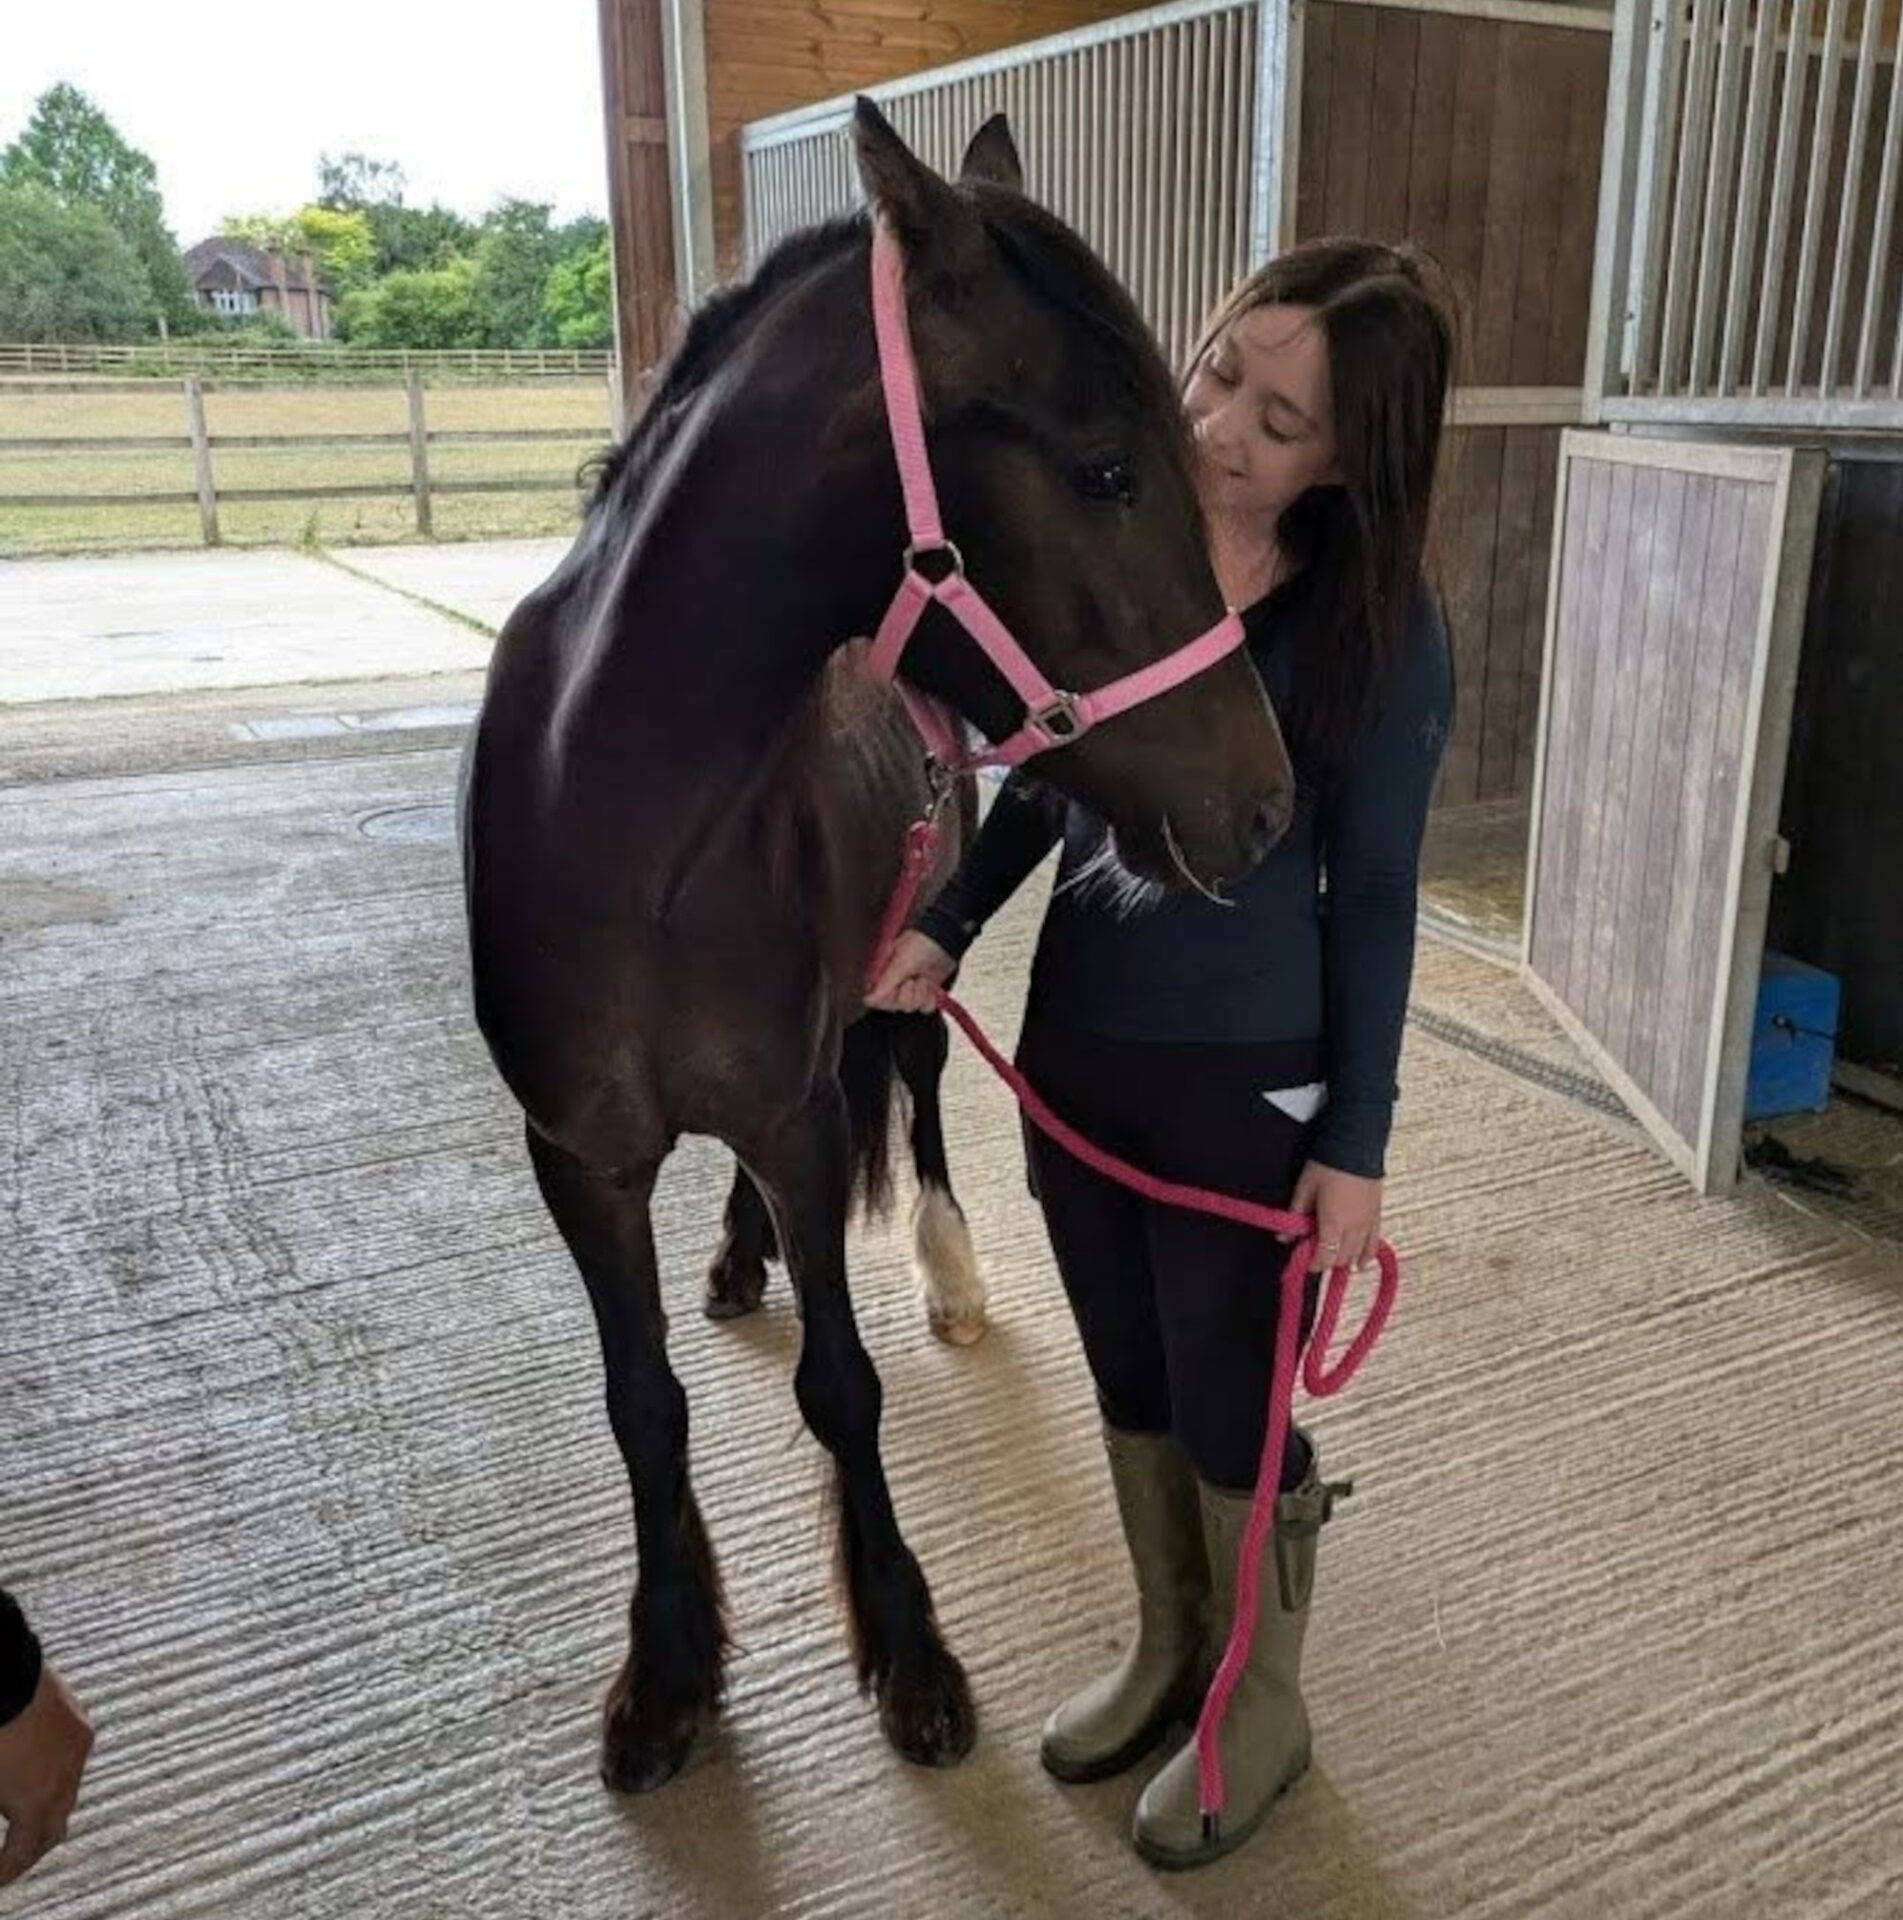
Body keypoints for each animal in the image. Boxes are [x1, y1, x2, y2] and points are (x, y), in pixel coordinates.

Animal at [460, 98, 1293, 1794]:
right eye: (1107, 470)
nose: (1262, 807)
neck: (623, 823)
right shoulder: (577, 1157)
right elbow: (640, 1402)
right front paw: (665, 1674)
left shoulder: (791, 1109)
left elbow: (840, 1388)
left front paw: (909, 1654)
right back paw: (735, 1255)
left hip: (893, 984)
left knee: (908, 1090)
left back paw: (944, 1267)